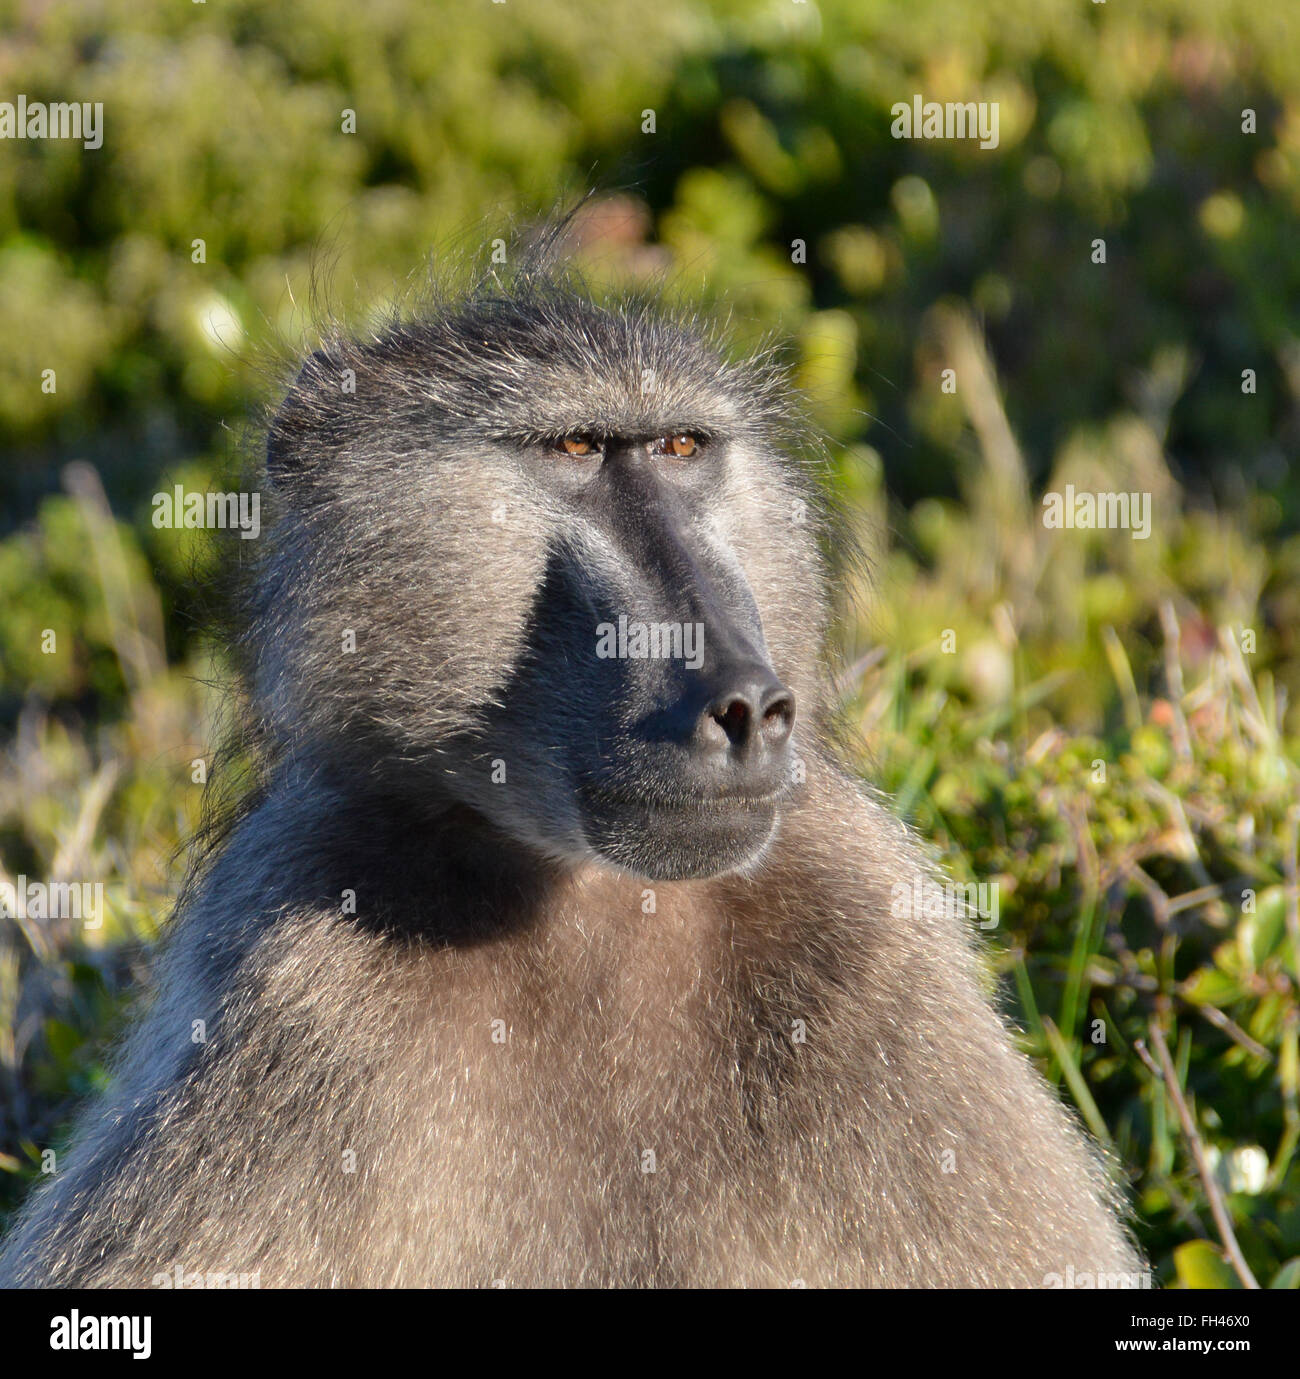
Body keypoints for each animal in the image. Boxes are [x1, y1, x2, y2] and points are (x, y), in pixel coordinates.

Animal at [0, 246, 1144, 1288]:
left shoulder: (871, 950)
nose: (747, 704)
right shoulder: (300, 976)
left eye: (683, 446)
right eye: (575, 446)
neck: (597, 899)